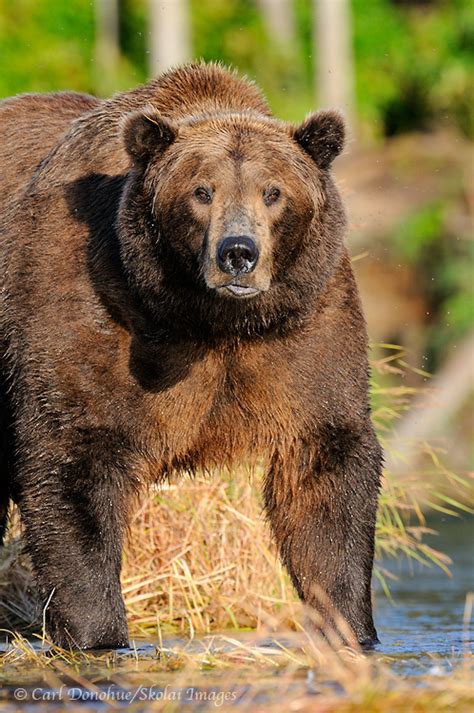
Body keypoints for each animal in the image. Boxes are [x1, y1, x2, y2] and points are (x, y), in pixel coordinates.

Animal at [0, 63, 382, 650]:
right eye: (202, 191)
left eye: (273, 191)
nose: (238, 253)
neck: (209, 321)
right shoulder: (89, 309)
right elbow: (71, 460)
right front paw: (97, 633)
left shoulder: (305, 327)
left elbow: (326, 469)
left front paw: (349, 625)